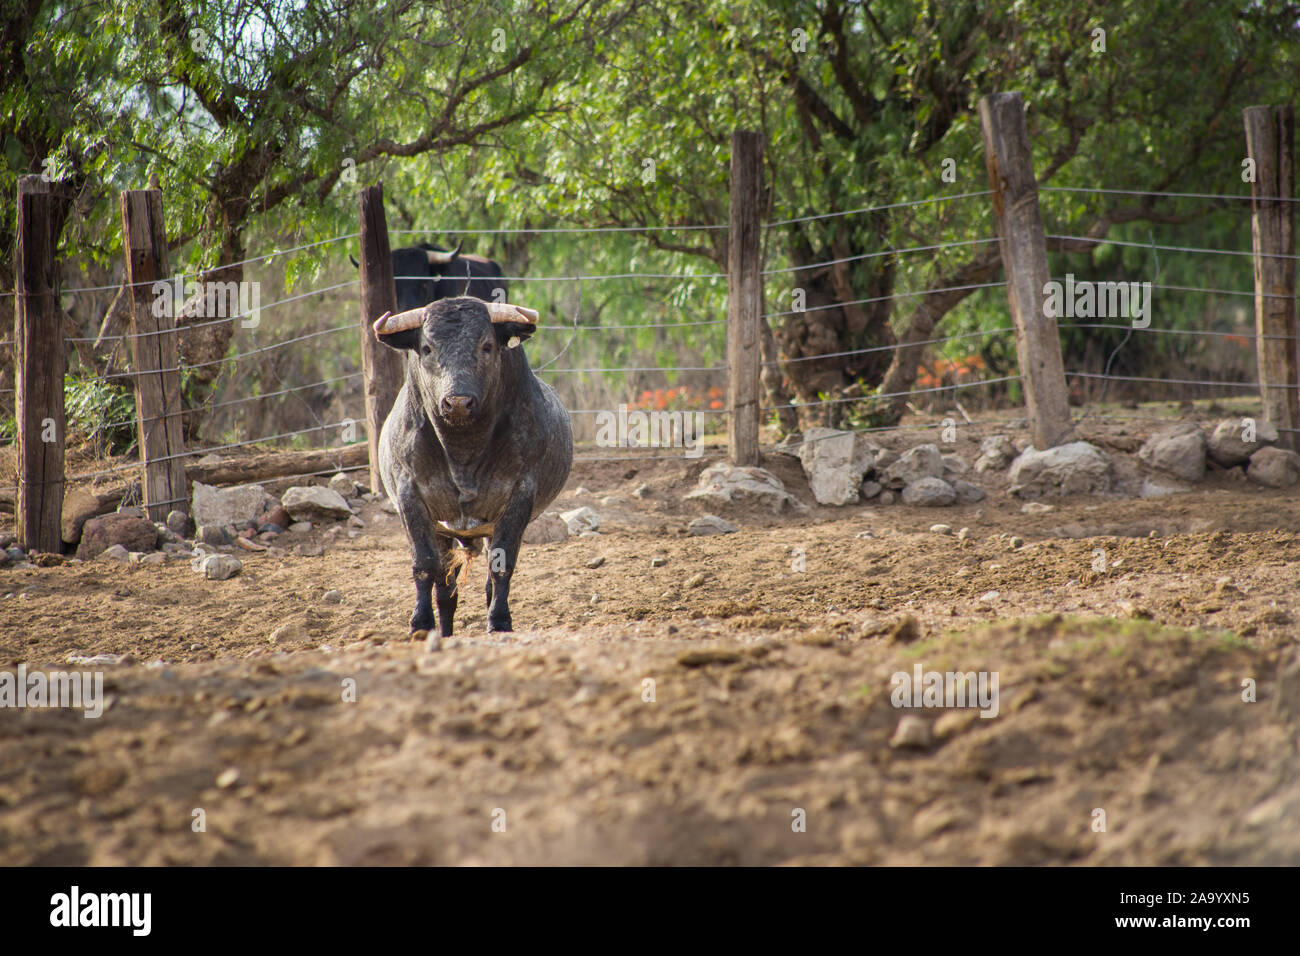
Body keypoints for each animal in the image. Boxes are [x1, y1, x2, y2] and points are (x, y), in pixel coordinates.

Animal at [372, 296, 573, 641]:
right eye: (427, 348)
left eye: (487, 346)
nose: (457, 403)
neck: (462, 450)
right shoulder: (410, 495)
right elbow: (424, 564)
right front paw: (420, 623)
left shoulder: (519, 497)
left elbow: (501, 566)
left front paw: (500, 621)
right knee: (445, 587)